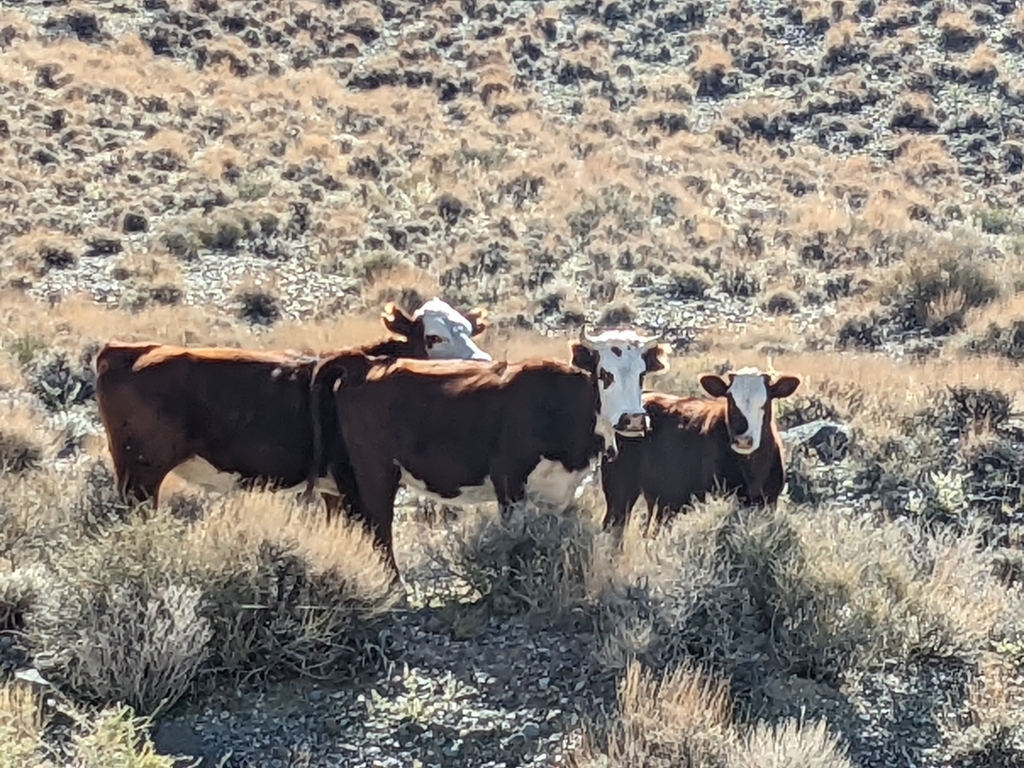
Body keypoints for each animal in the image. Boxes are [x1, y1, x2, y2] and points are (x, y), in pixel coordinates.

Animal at [94, 299, 491, 513]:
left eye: (469, 331)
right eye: (434, 337)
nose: (483, 360)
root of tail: (124, 351)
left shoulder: (332, 489)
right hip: (142, 473)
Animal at [310, 328, 670, 575]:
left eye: (641, 374)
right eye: (605, 374)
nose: (633, 418)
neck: (561, 403)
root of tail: (366, 364)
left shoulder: (556, 490)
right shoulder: (509, 481)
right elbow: (513, 536)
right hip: (377, 473)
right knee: (380, 527)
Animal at [600, 367, 801, 530]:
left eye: (765, 402)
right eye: (730, 399)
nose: (743, 440)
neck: (753, 470)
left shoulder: (768, 502)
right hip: (619, 487)